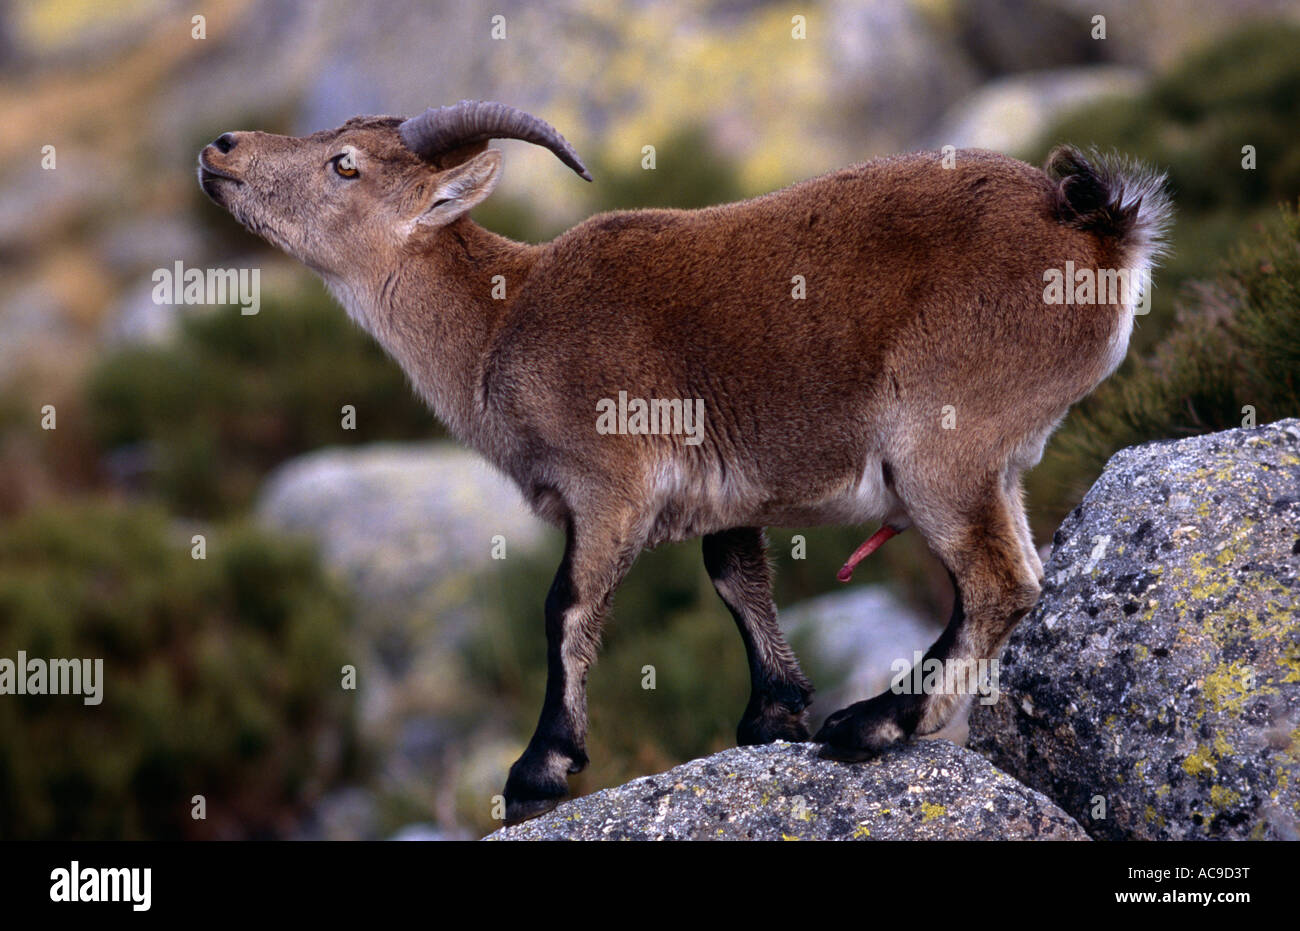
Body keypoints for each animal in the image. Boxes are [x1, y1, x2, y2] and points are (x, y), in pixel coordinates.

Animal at [198, 100, 1171, 824]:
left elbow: (567, 606)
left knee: (1001, 581)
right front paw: (772, 711)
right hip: (990, 467)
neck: (501, 322)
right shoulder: (726, 493)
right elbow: (736, 579)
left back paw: (874, 725)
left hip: (941, 447)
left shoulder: (608, 484)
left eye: (345, 166)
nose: (220, 147)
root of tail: (1100, 232)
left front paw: (539, 768)